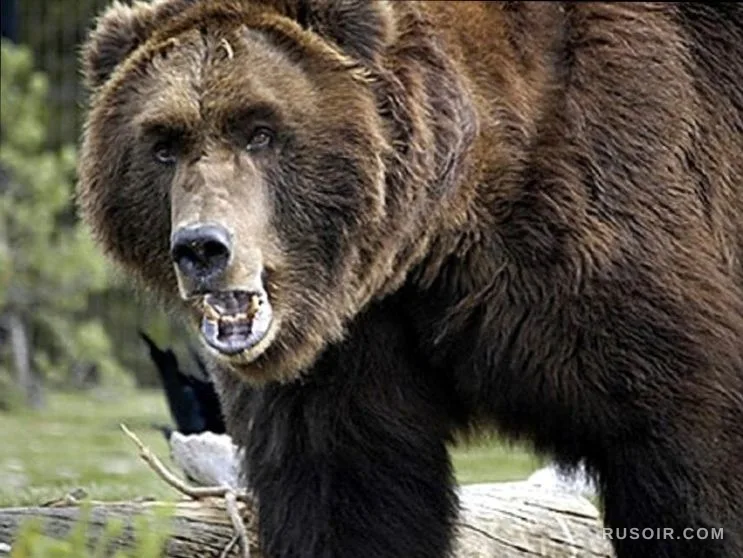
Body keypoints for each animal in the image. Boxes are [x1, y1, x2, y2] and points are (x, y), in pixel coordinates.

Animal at [77, 2, 743, 557]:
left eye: (260, 130)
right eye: (164, 143)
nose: (202, 247)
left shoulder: (617, 237)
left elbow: (690, 465)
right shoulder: (352, 345)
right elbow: (352, 492)